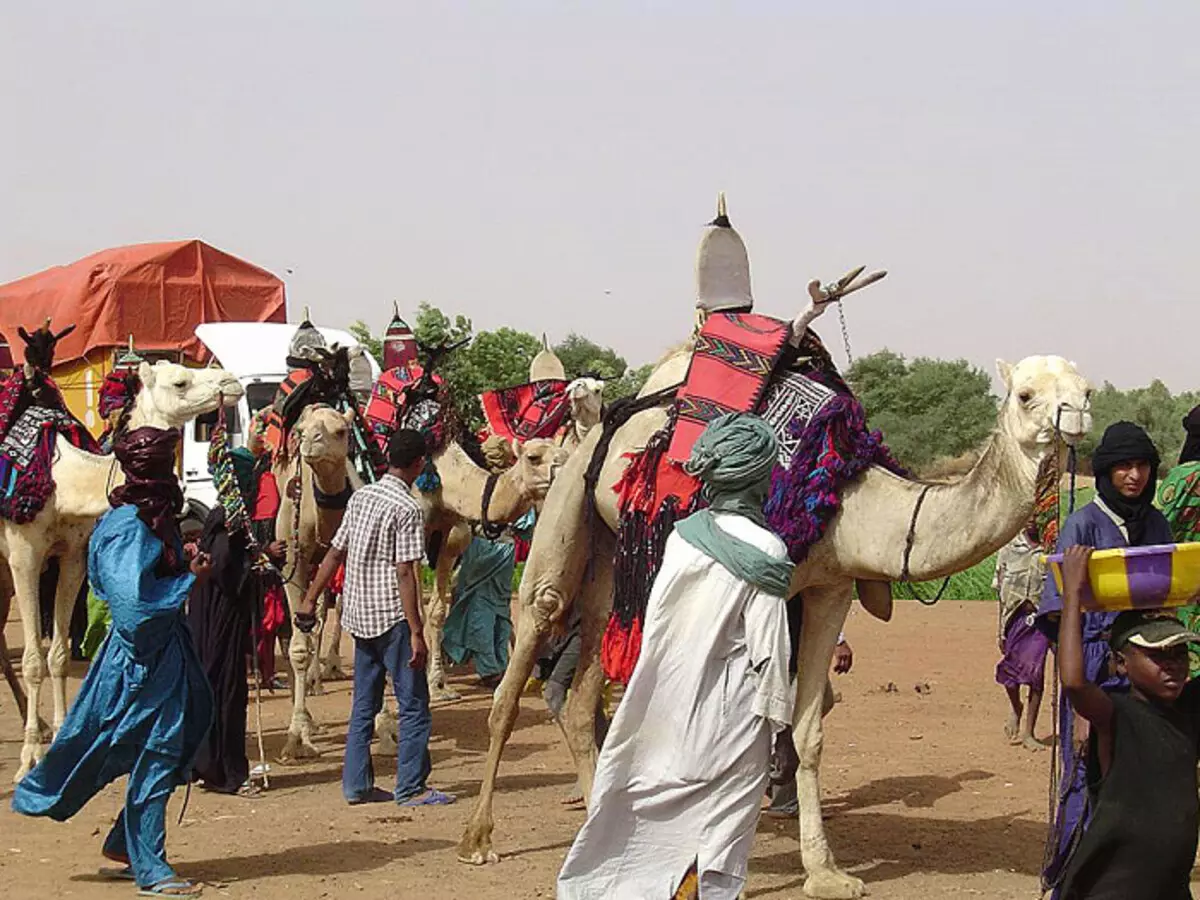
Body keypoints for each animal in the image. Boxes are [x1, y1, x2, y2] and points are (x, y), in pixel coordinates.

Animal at [5, 360, 243, 782]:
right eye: (180, 381)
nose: (231, 381)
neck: (61, 483)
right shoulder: (24, 555)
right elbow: (34, 660)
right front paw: (29, 757)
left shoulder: (72, 556)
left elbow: (59, 655)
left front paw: (59, 737)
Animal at [453, 348, 1094, 900]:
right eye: (1026, 394)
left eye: (1085, 387)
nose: (1077, 415)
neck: (853, 501)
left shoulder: (830, 588)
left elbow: (807, 729)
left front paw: (826, 872)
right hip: (565, 511)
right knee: (530, 644)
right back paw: (478, 838)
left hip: (615, 561)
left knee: (584, 694)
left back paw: (600, 833)